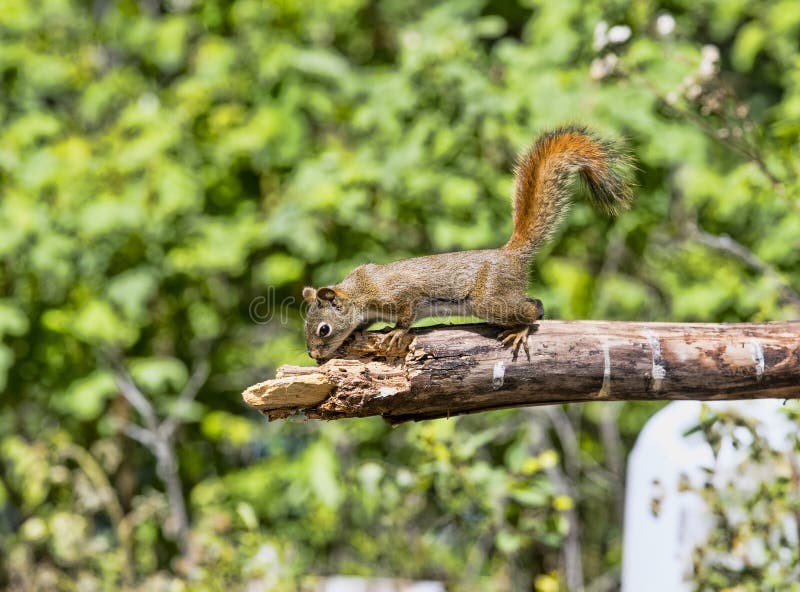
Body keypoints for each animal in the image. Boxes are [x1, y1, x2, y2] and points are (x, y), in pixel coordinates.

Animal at [302, 126, 634, 361]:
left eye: (323, 329)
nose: (313, 355)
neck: (360, 290)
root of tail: (511, 254)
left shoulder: (399, 295)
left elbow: (406, 314)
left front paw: (396, 332)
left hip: (491, 300)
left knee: (533, 310)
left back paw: (520, 330)